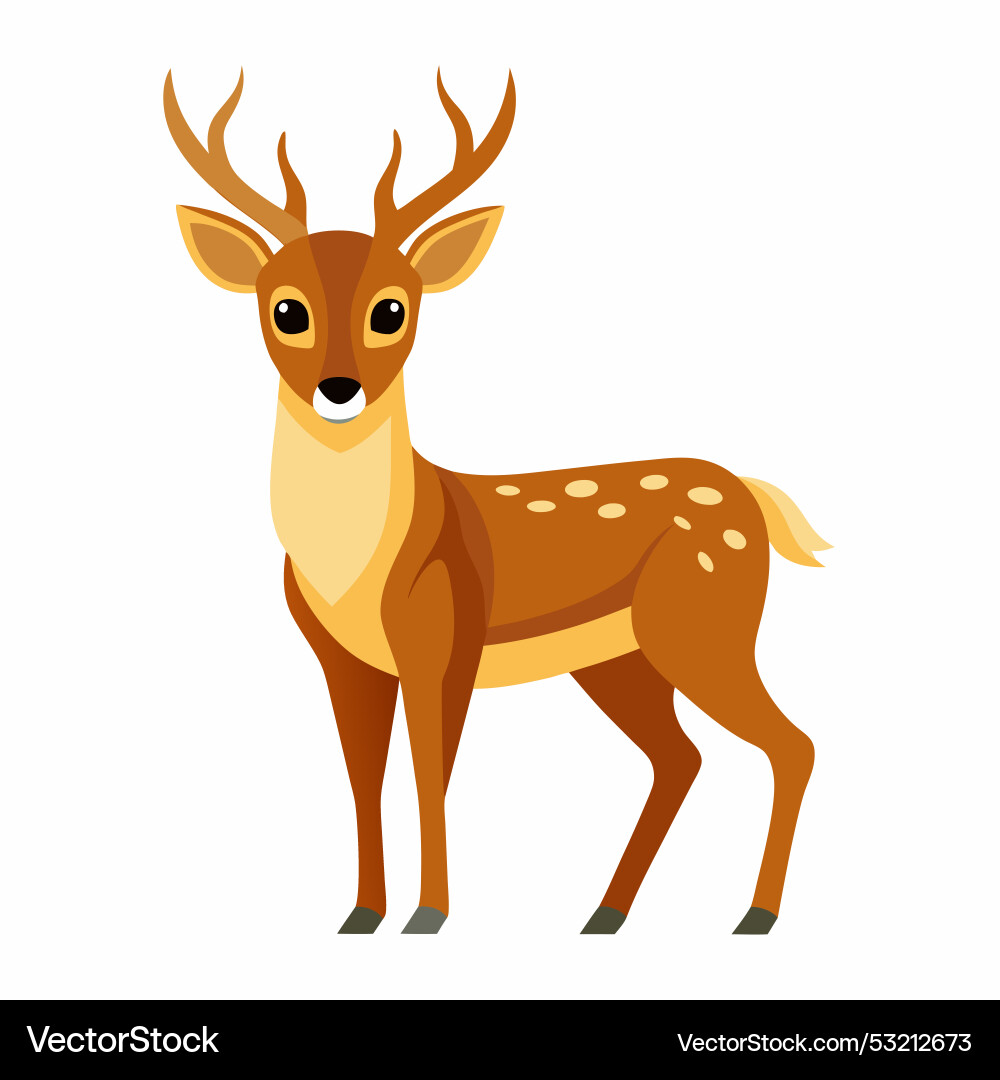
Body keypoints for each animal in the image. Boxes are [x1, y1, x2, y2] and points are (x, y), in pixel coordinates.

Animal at [164, 68, 830, 936]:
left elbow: (430, 775)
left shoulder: (447, 638)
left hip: (705, 626)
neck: (355, 570)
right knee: (682, 757)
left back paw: (754, 914)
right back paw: (604, 913)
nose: (338, 389)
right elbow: (363, 780)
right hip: (620, 659)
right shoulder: (341, 660)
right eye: (286, 309)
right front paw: (361, 914)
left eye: (392, 308)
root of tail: (751, 497)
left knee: (791, 744)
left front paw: (428, 915)